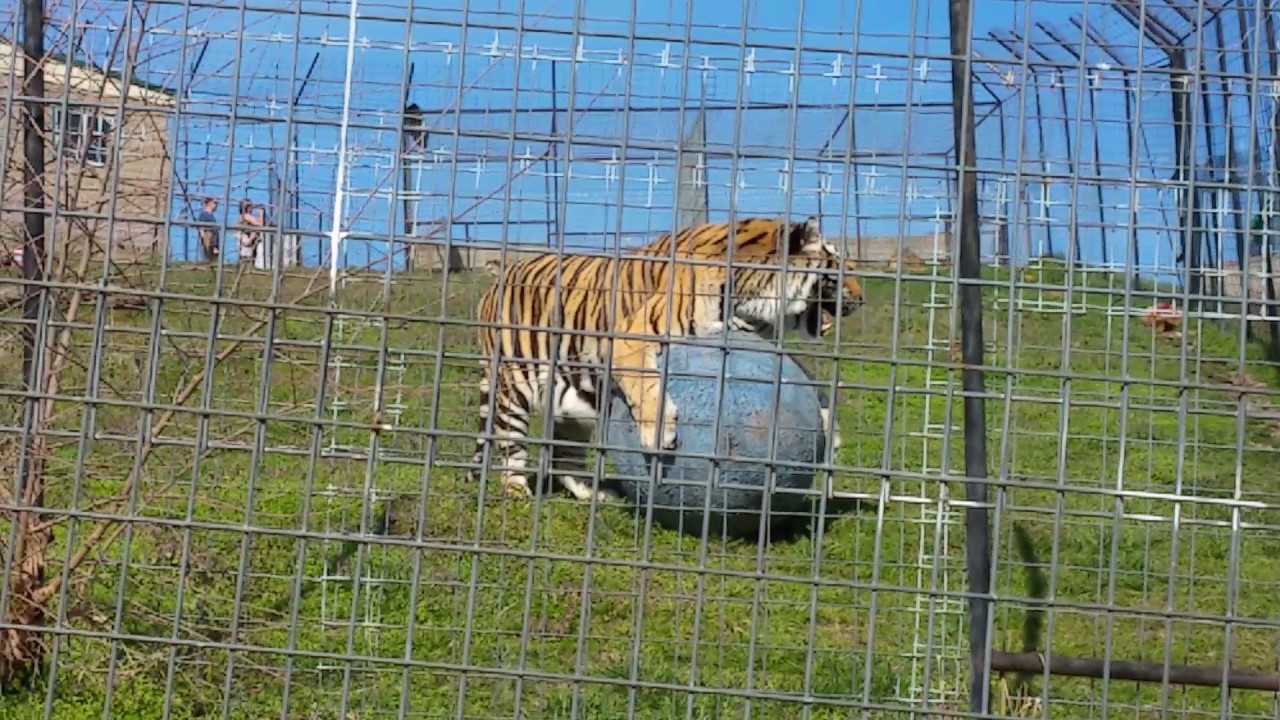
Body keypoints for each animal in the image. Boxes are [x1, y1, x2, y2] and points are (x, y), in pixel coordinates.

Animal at [468, 216, 865, 501]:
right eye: (839, 267)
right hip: (512, 387)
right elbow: (645, 386)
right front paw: (659, 433)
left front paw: (831, 428)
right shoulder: (630, 338)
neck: (750, 306)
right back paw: (516, 490)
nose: (861, 299)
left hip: (572, 402)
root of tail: (496, 281)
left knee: (565, 455)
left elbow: (806, 380)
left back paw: (593, 493)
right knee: (509, 445)